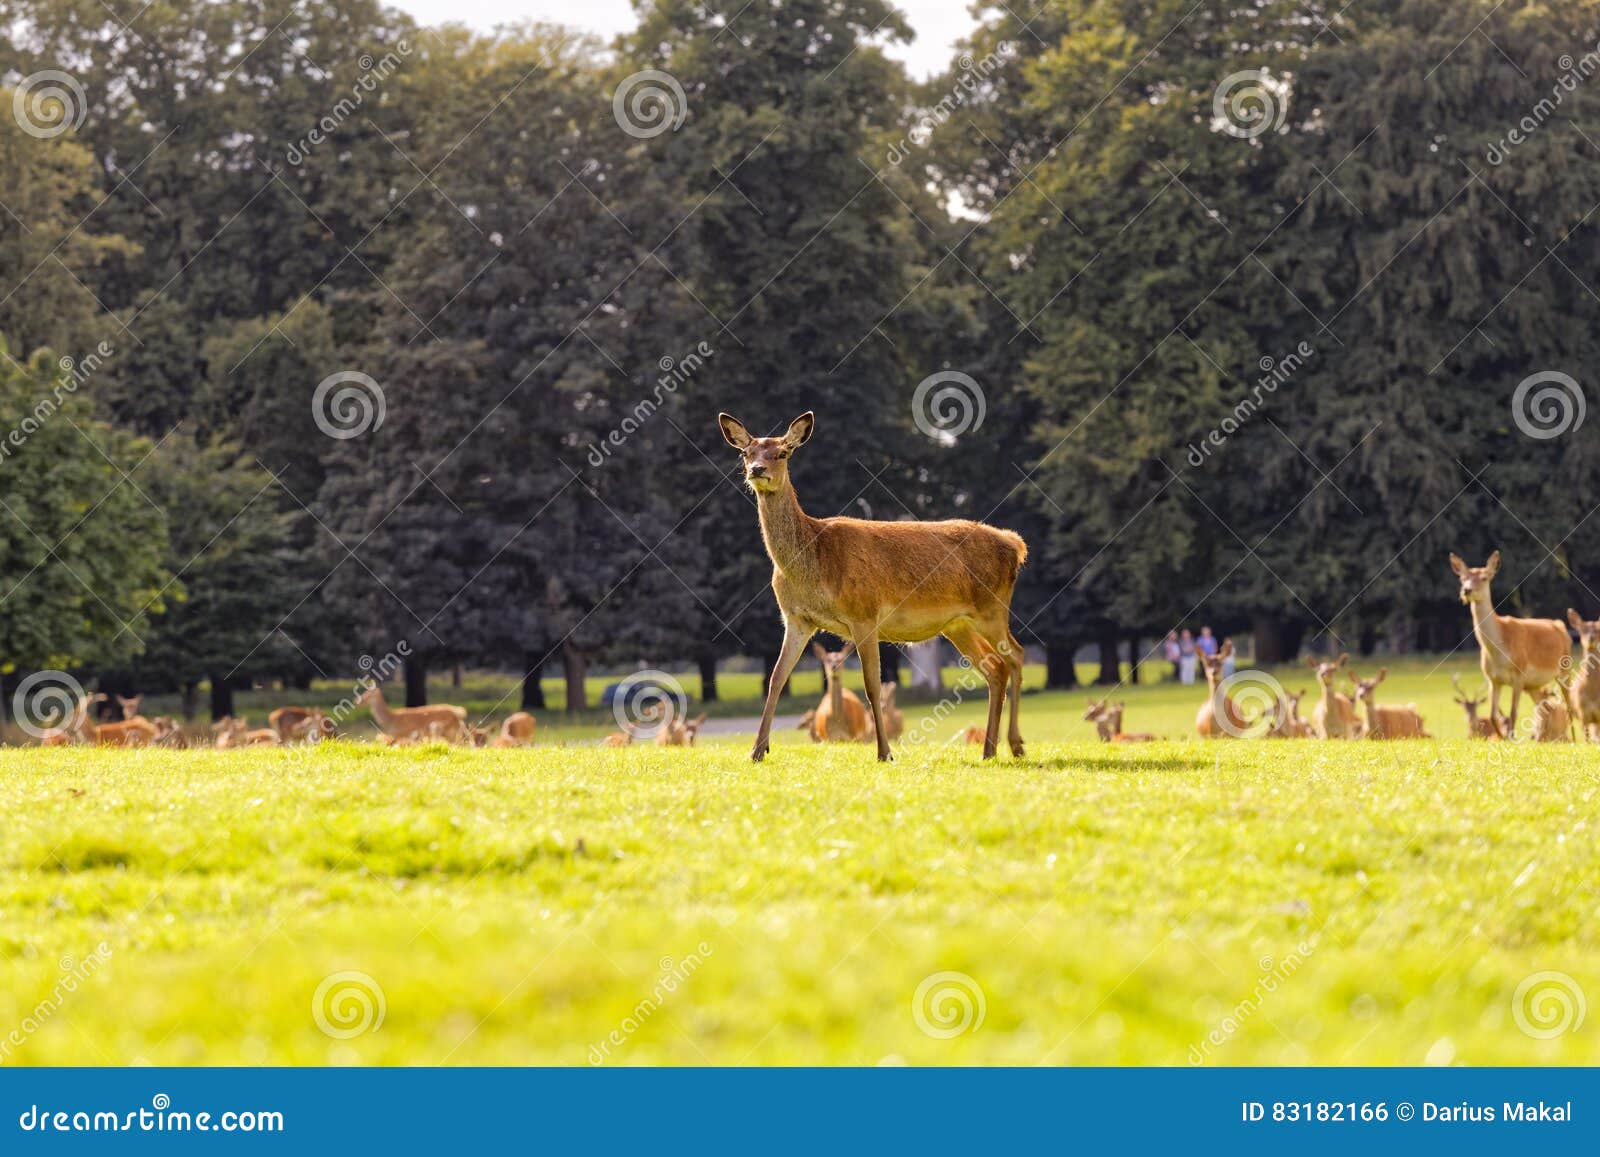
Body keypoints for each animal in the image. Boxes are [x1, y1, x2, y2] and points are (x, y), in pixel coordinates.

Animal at [721, 411, 1028, 762]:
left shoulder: (864, 613)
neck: (812, 565)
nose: (757, 470)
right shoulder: (796, 618)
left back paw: (1015, 744)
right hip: (958, 625)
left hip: (993, 608)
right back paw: (990, 750)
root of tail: (1015, 544)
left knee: (1015, 656)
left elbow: (872, 685)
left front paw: (884, 752)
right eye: (746, 453)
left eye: (783, 452)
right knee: (995, 669)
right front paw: (757, 751)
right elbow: (776, 678)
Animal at [1451, 551, 1570, 736]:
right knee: (1546, 710)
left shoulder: (1519, 675)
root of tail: (1560, 625)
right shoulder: (1493, 679)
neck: (1498, 651)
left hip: (1565, 669)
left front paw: (1511, 738)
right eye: (1463, 578)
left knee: (1570, 708)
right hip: (1534, 685)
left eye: (1484, 577)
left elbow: (1513, 713)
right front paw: (1503, 738)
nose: (1467, 590)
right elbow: (1493, 716)